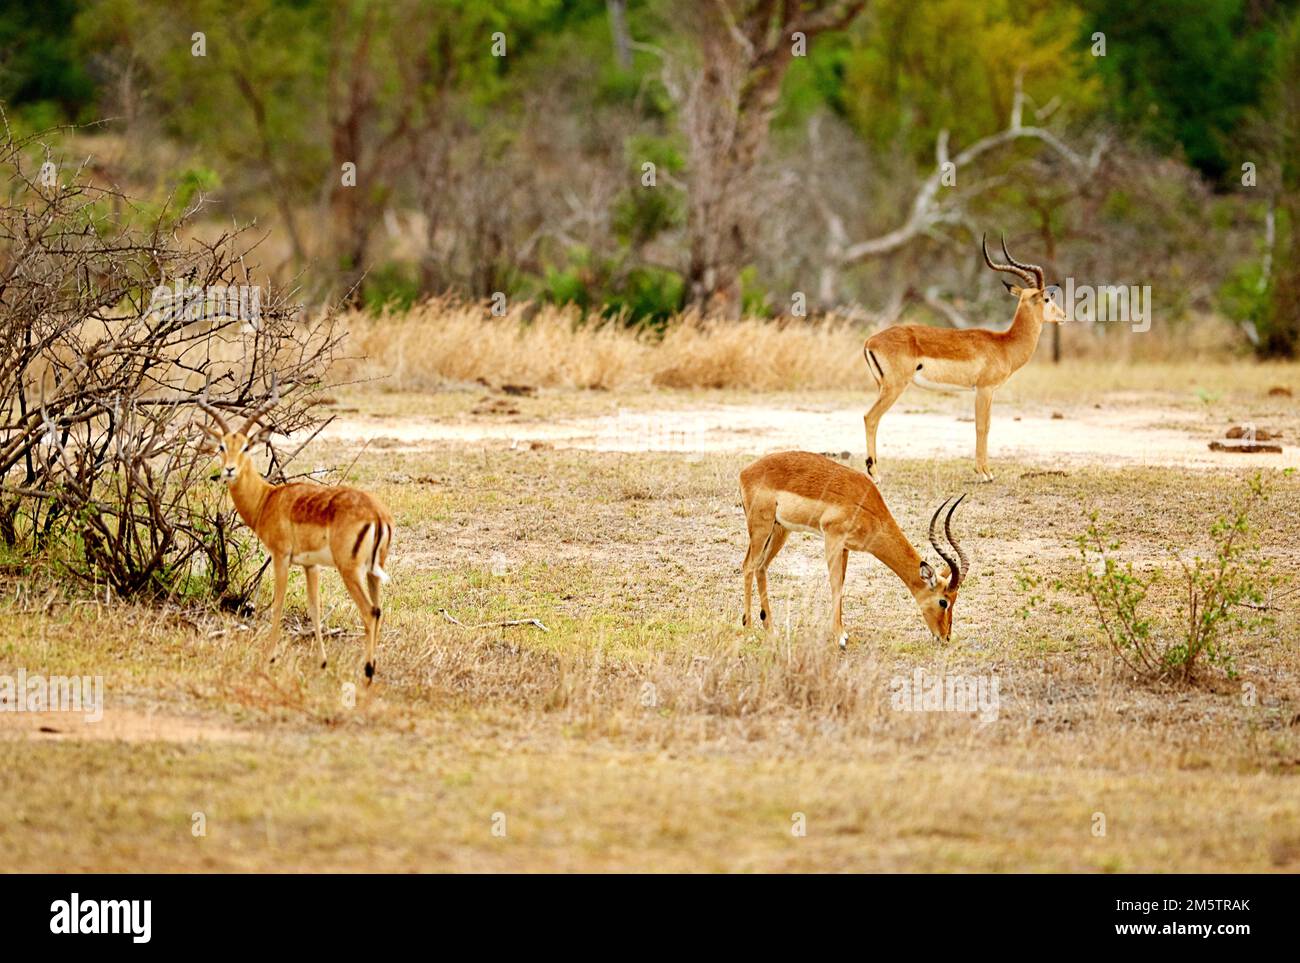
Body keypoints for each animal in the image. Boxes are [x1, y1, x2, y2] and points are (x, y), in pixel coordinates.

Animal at [195, 381, 394, 681]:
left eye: (246, 447)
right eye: (221, 445)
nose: (229, 469)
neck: (268, 499)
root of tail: (377, 513)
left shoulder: (281, 557)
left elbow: (277, 604)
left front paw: (268, 659)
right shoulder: (311, 566)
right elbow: (315, 608)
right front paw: (322, 662)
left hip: (349, 570)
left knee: (370, 612)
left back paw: (367, 673)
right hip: (373, 572)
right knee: (379, 610)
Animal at [739, 450, 968, 648]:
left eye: (955, 599)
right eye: (943, 602)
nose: (945, 636)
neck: (866, 504)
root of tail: (745, 472)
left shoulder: (845, 547)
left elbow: (842, 584)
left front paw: (842, 632)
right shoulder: (832, 538)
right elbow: (835, 585)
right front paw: (840, 637)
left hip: (780, 530)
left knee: (761, 567)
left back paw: (770, 629)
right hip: (761, 528)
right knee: (748, 566)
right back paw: (748, 631)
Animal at [863, 234, 1066, 483]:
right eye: (1047, 299)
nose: (1063, 316)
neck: (1004, 344)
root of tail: (871, 340)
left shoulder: (989, 392)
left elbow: (987, 425)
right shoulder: (983, 390)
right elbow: (982, 427)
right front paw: (985, 473)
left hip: (881, 386)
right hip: (894, 387)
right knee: (870, 417)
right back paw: (875, 474)